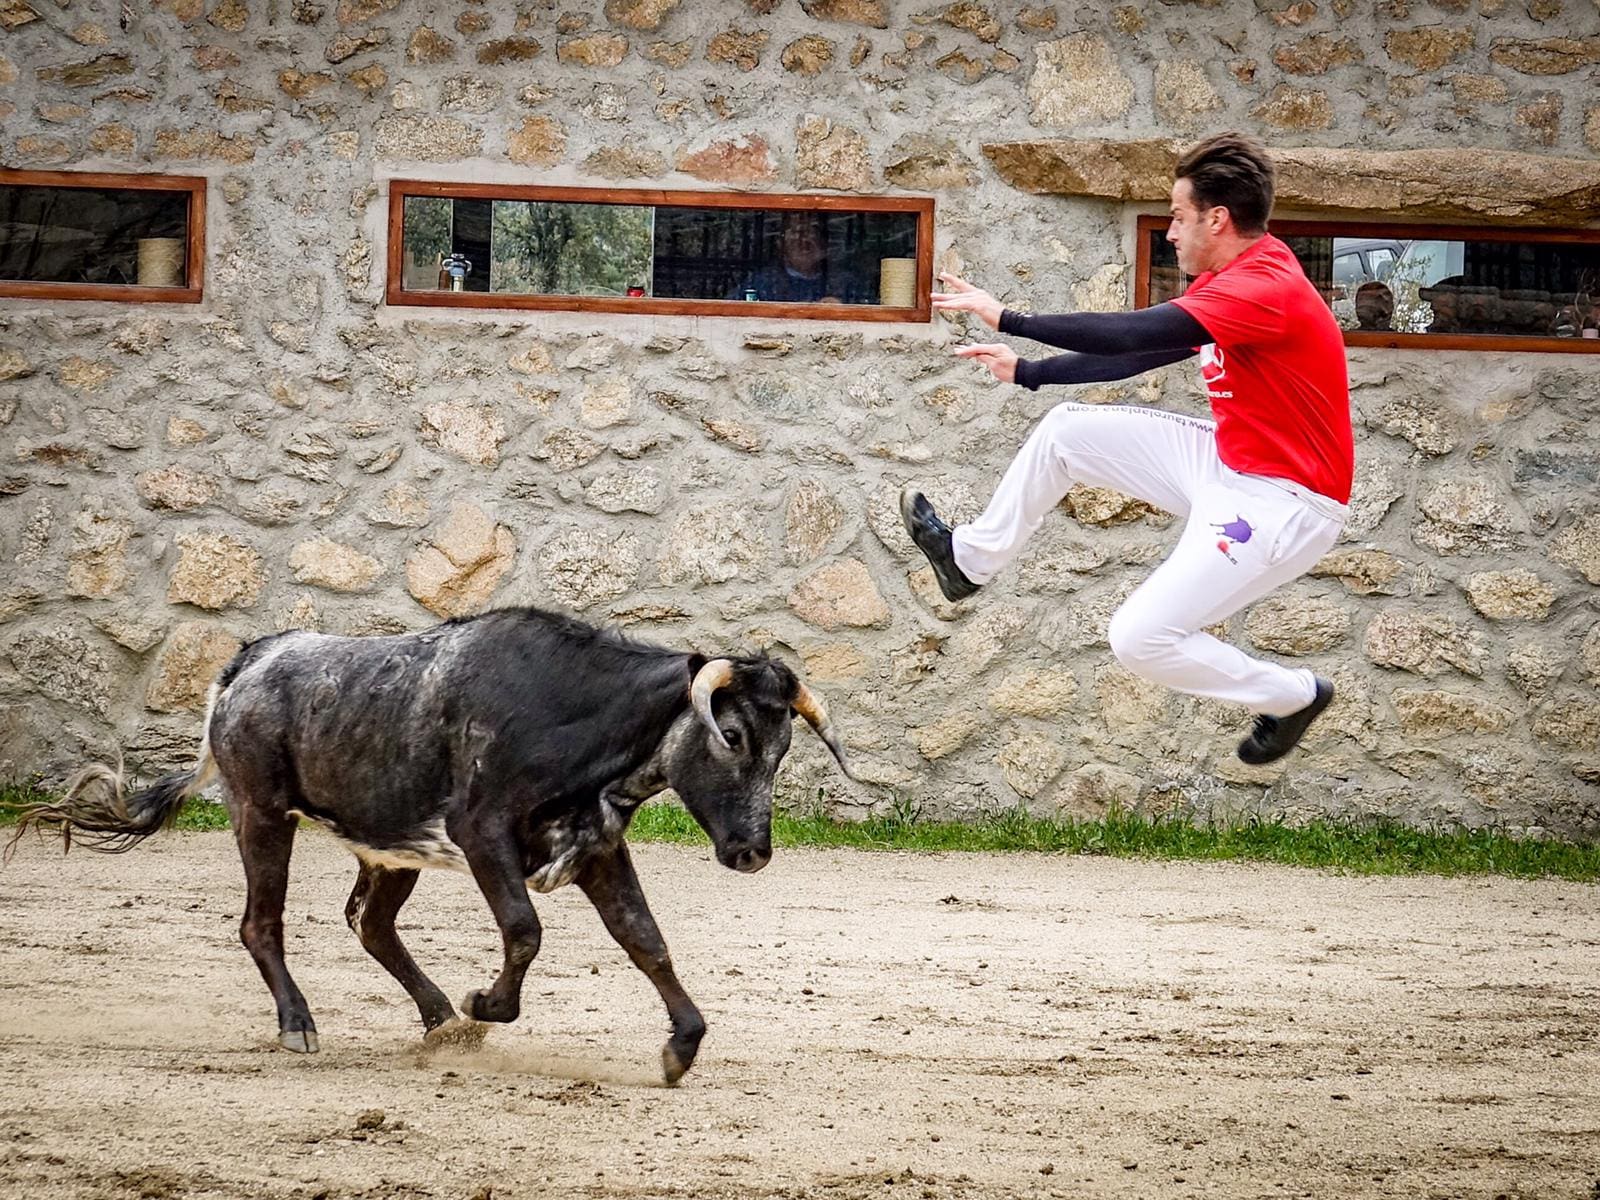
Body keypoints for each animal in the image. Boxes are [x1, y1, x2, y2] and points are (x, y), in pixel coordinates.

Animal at [10, 606, 853, 1085]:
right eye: (732, 736)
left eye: (783, 749)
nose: (753, 852)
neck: (579, 716)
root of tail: (249, 661)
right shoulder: (482, 836)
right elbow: (524, 928)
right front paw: (489, 1005)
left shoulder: (596, 849)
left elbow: (645, 939)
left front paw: (683, 1045)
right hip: (261, 812)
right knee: (261, 923)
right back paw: (302, 1025)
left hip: (389, 849)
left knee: (370, 924)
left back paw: (440, 1021)